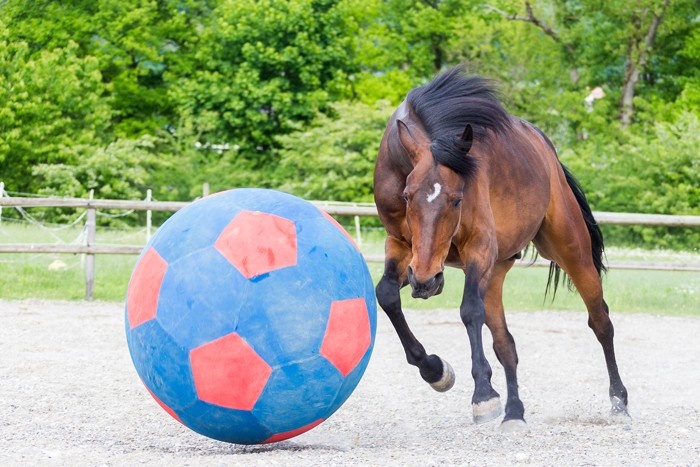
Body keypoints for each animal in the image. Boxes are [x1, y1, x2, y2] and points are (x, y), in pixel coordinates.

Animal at [373, 66, 628, 432]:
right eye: (407, 196)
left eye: (457, 199)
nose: (426, 282)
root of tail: (547, 151)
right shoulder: (403, 248)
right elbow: (386, 296)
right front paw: (435, 371)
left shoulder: (478, 250)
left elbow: (469, 311)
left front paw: (483, 395)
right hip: (493, 272)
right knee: (505, 343)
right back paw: (514, 412)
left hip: (570, 252)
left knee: (601, 322)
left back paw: (619, 402)